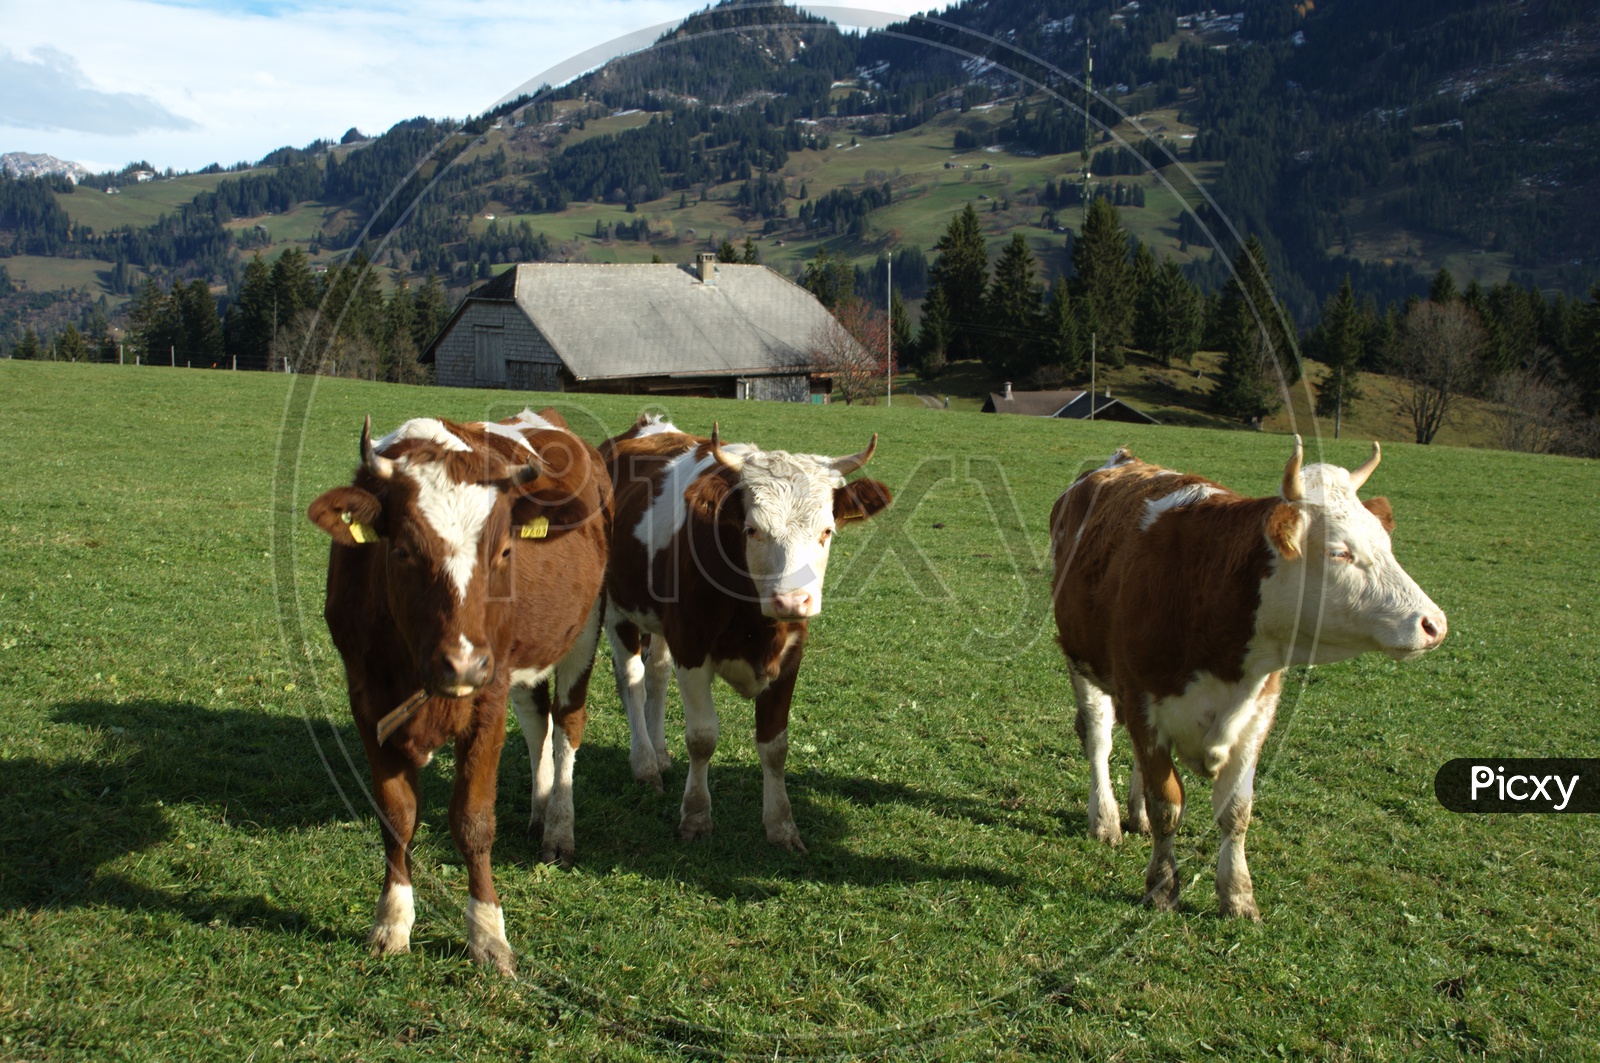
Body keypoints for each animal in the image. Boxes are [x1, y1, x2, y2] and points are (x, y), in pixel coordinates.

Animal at [306, 408, 610, 974]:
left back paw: (559, 827)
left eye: (505, 550)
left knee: (566, 725)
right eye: (402, 550)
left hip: (583, 632)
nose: (465, 662)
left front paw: (488, 934)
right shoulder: (366, 701)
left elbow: (473, 822)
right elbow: (396, 815)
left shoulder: (486, 700)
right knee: (537, 719)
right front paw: (392, 921)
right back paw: (539, 810)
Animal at [601, 416, 891, 852]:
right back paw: (646, 764)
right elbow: (702, 737)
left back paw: (661, 753)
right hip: (614, 605)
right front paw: (696, 817)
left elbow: (774, 745)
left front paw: (782, 825)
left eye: (826, 531)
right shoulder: (691, 645)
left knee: (657, 675)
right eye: (753, 530)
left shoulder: (789, 656)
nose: (792, 600)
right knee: (631, 679)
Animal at [1050, 437, 1446, 919]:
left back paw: (1134, 816)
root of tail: (1122, 460)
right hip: (1081, 660)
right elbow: (1168, 804)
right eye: (1339, 551)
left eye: (1386, 544)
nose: (1433, 624)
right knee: (1098, 738)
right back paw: (1105, 819)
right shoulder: (1144, 701)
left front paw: (1238, 895)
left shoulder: (1257, 714)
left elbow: (1236, 811)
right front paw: (1161, 886)